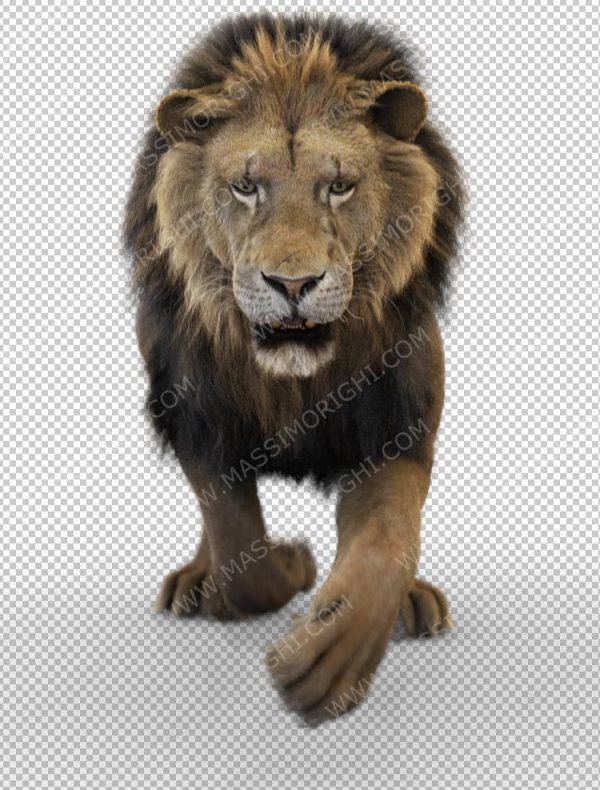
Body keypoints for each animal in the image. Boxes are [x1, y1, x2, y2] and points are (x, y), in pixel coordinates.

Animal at [124, 13, 464, 722]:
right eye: (245, 186)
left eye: (339, 185)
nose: (293, 284)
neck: (292, 377)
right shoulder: (196, 417)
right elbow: (239, 549)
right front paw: (292, 566)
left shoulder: (394, 422)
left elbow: (387, 541)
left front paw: (332, 656)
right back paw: (196, 584)